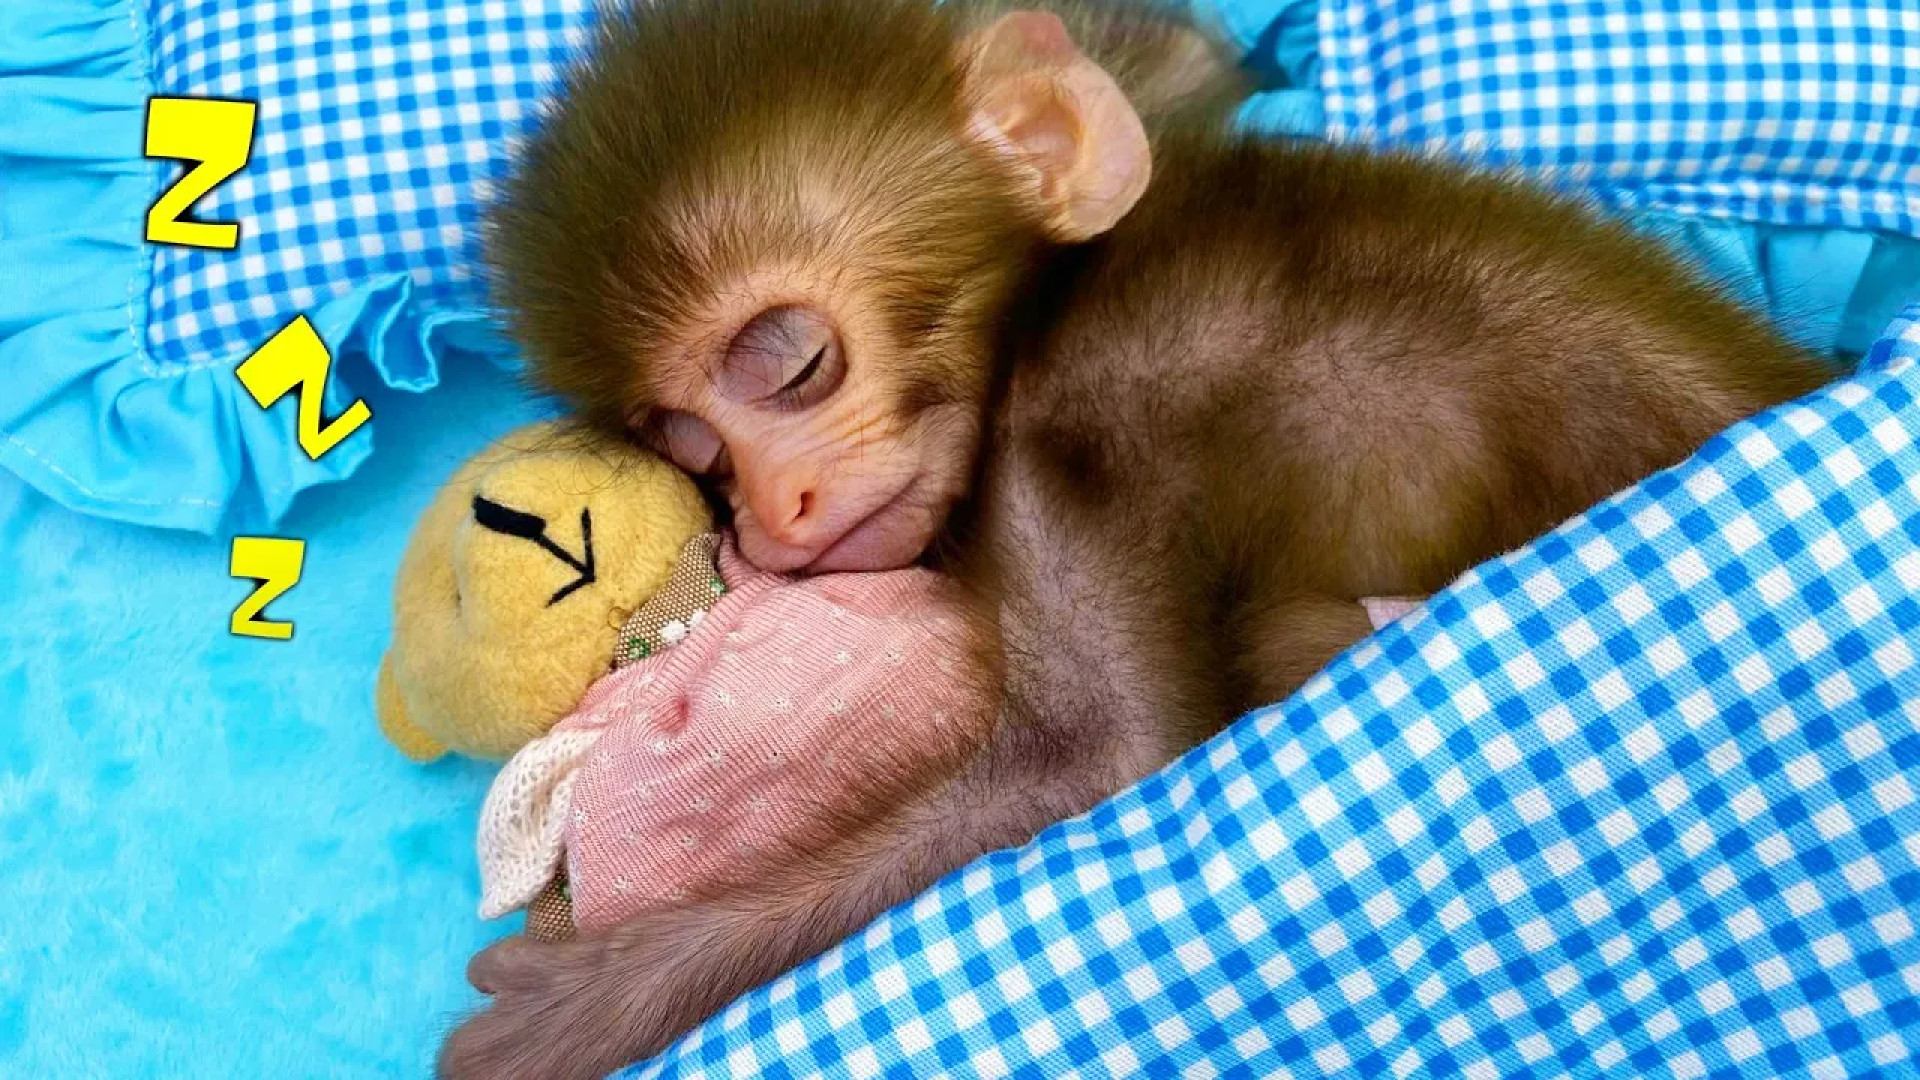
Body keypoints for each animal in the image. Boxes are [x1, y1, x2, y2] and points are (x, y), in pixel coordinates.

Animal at [442, 0, 1835, 1075]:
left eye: (787, 362)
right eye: (693, 452)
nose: (771, 516)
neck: (1047, 308)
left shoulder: (1068, 431)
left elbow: (1103, 767)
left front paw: (590, 1000)